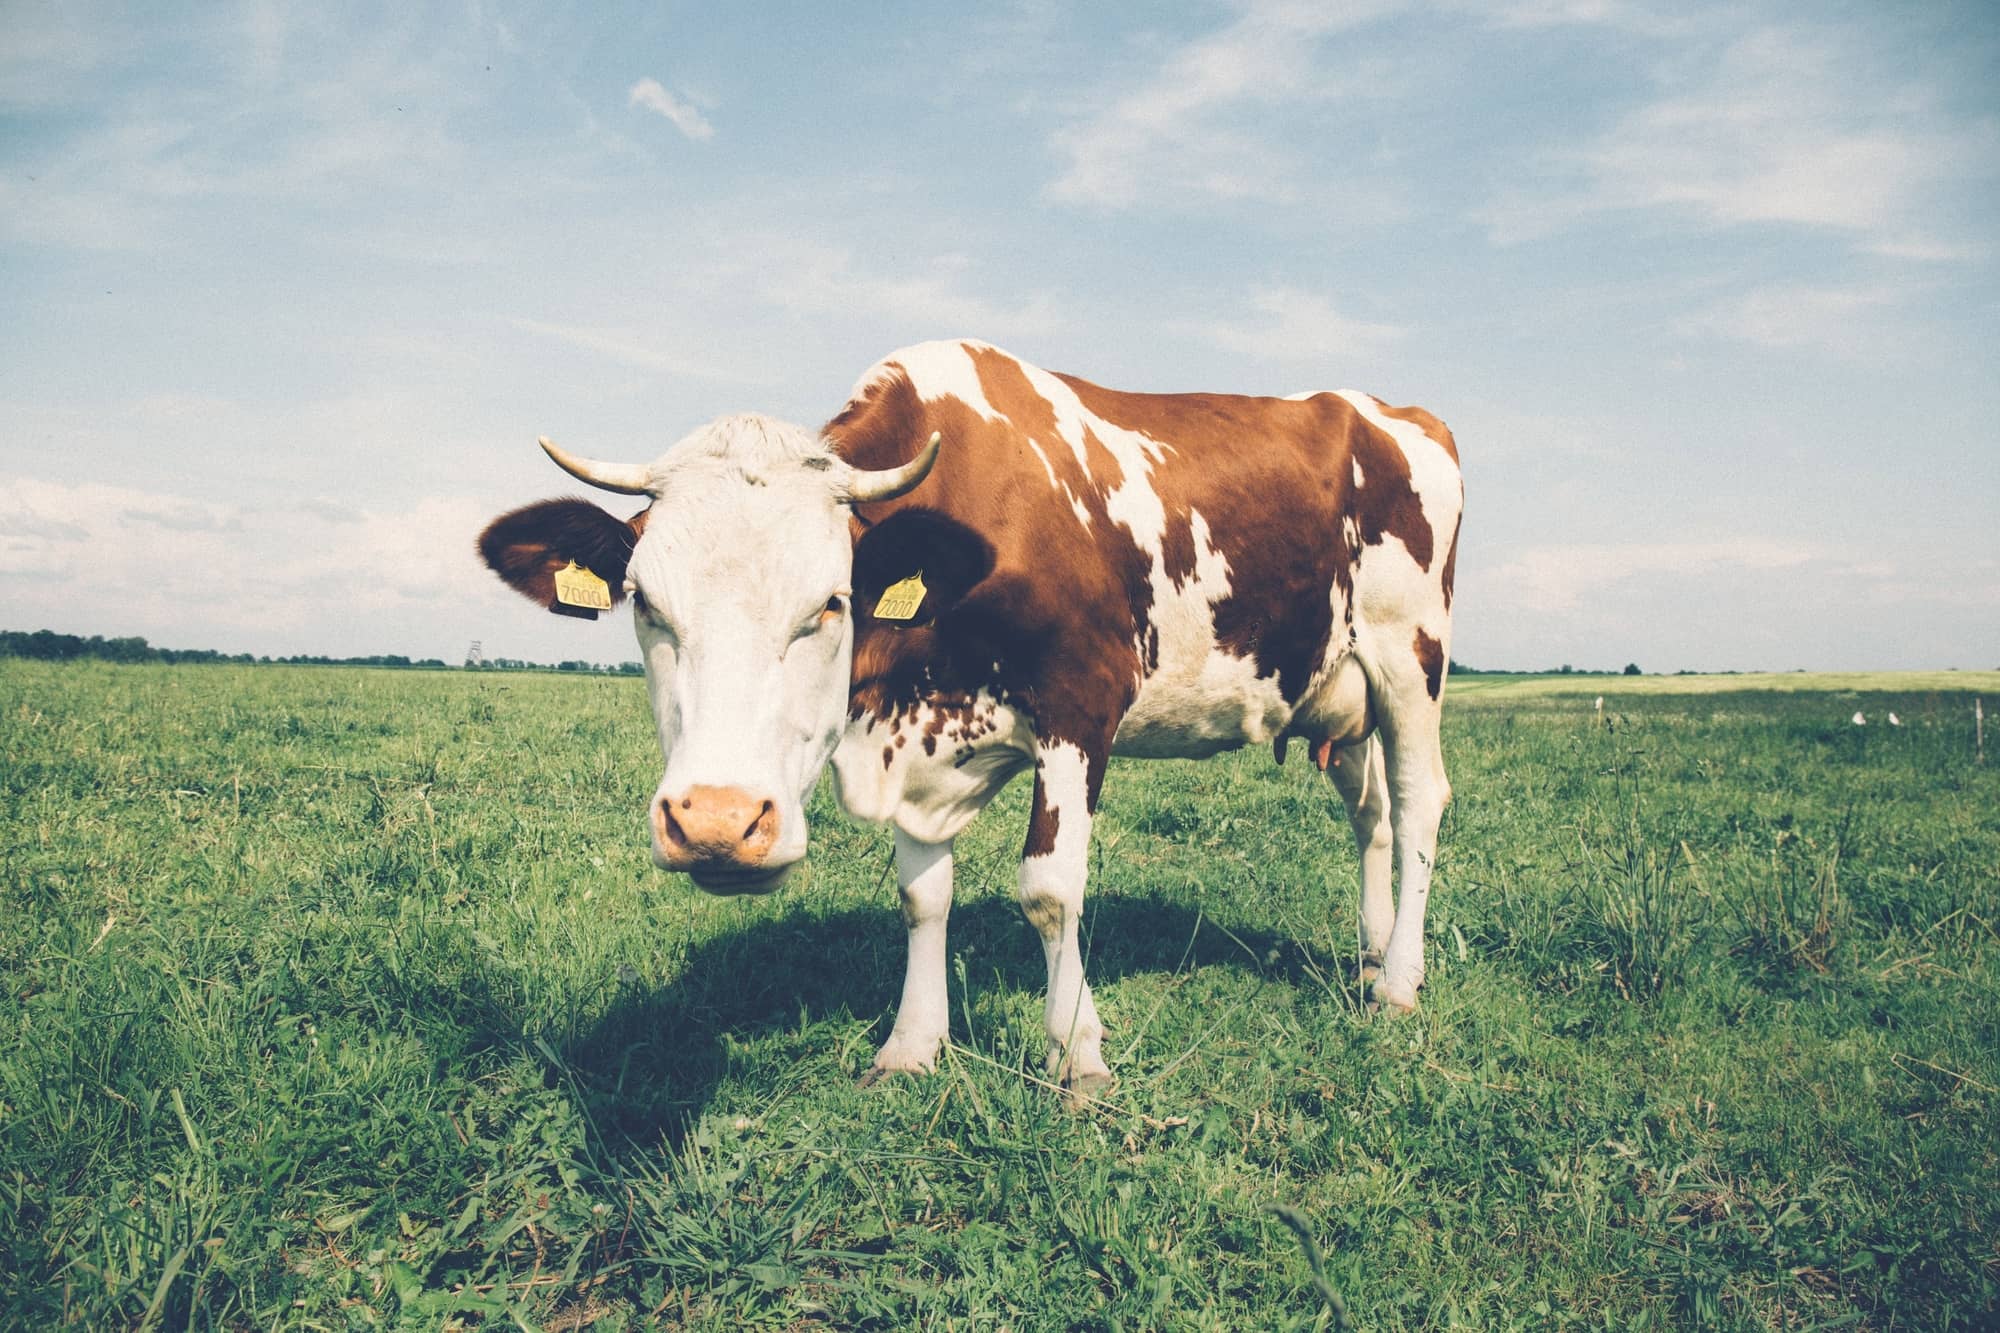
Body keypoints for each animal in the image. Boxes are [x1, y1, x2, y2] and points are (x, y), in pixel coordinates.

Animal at [478, 340, 1462, 1094]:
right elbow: (923, 894)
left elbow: (1050, 889)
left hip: (1410, 655)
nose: (717, 822)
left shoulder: (1080, 705)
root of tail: (1389, 409)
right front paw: (913, 1044)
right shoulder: (907, 745)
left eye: (831, 603)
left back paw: (1401, 982)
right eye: (644, 603)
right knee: (1370, 813)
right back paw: (1371, 954)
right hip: (1340, 691)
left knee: (1419, 804)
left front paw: (1076, 1054)